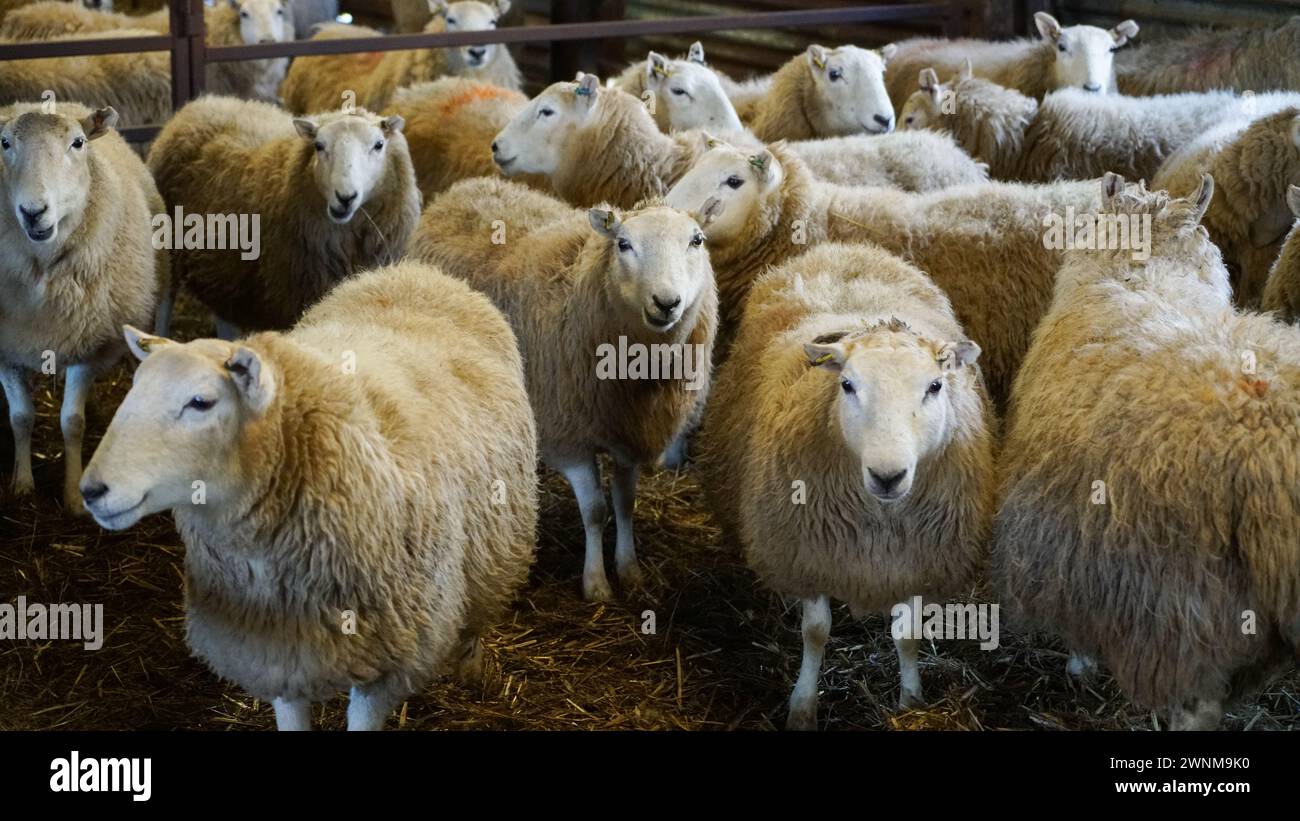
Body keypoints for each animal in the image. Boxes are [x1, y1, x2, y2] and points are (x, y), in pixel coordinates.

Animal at [0, 103, 168, 514]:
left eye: (77, 143)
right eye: (4, 143)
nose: (33, 211)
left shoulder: (86, 346)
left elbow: (71, 421)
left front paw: (74, 496)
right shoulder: (6, 351)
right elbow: (20, 417)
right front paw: (22, 483)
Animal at [78, 260, 539, 731]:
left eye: (201, 402)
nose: (91, 491)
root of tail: (417, 272)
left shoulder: (386, 663)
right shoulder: (280, 652)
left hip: (499, 543)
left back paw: (472, 671)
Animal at [147, 96, 420, 336]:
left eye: (379, 145)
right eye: (319, 146)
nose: (345, 197)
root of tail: (199, 103)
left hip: (223, 267)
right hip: (168, 247)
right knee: (165, 302)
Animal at [406, 176, 720, 601]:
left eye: (697, 240)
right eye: (624, 244)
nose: (666, 302)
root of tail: (468, 186)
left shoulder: (630, 432)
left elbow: (625, 503)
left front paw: (629, 570)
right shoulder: (568, 435)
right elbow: (595, 511)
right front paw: (596, 582)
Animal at [699, 242, 994, 729]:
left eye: (935, 386)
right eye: (848, 384)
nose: (887, 475)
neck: (880, 517)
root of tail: (846, 247)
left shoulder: (920, 557)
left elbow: (909, 635)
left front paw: (911, 701)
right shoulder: (808, 554)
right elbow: (816, 632)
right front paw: (802, 706)